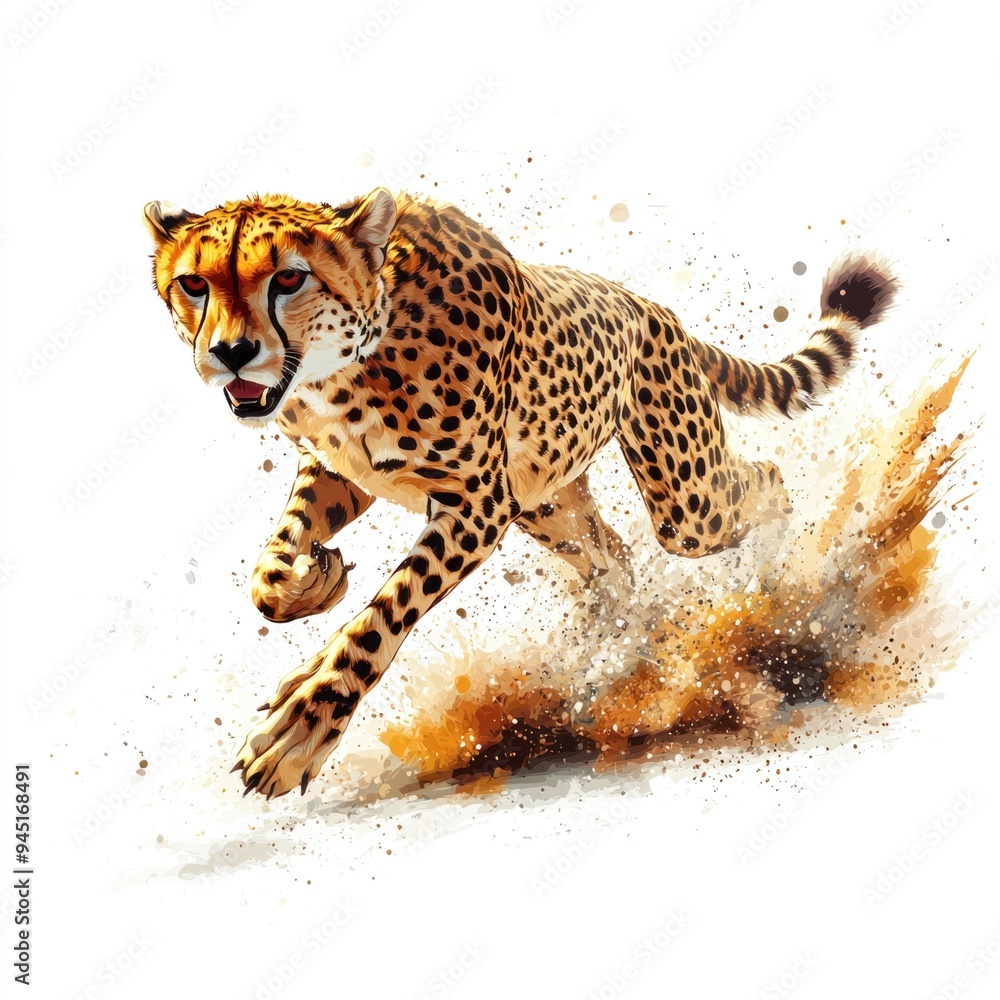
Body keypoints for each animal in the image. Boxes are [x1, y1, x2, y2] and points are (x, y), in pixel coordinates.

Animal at [144, 187, 898, 799]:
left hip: (683, 502)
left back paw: (782, 583)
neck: (351, 364)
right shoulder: (344, 473)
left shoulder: (475, 506)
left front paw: (300, 730)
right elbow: (269, 572)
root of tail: (655, 309)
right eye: (193, 284)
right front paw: (310, 583)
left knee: (763, 481)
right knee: (613, 559)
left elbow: (382, 615)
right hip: (548, 503)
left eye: (289, 278)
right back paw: (604, 656)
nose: (230, 354)